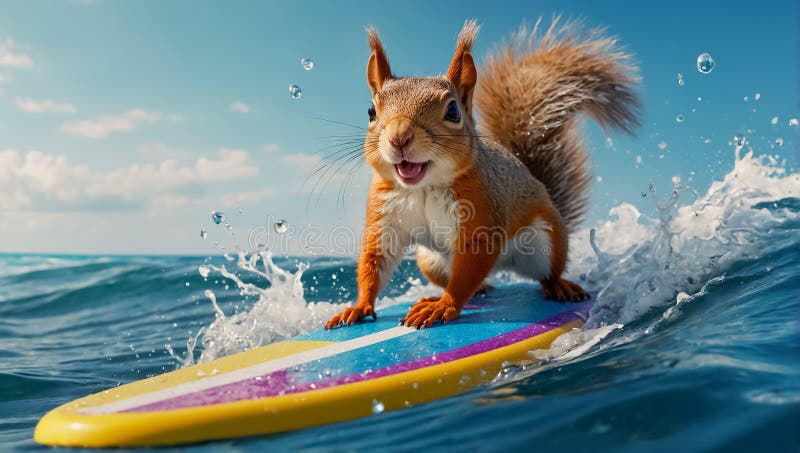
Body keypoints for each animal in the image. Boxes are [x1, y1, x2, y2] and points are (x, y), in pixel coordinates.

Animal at [325, 18, 639, 330]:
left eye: (453, 111)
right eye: (370, 111)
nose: (399, 137)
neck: (423, 186)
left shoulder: (480, 214)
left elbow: (470, 264)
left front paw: (444, 306)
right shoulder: (385, 216)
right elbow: (375, 260)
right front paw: (359, 306)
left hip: (545, 242)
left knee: (544, 272)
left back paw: (558, 286)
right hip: (431, 261)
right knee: (469, 279)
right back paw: (471, 290)